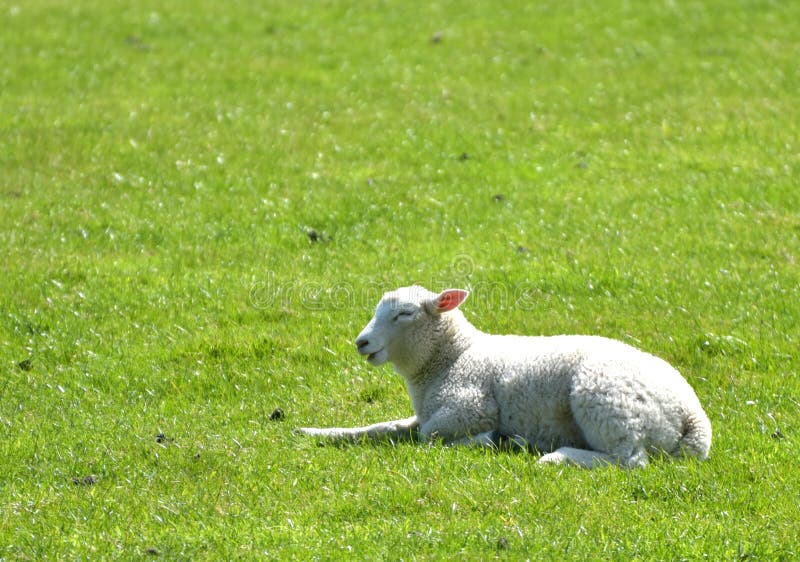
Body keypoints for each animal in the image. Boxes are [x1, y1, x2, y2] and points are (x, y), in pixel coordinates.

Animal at [298, 285, 712, 468]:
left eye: (405, 314)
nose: (361, 342)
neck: (453, 357)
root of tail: (694, 420)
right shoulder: (426, 412)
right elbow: (384, 427)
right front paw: (317, 432)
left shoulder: (468, 405)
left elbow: (430, 436)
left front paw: (486, 440)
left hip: (606, 400)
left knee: (629, 460)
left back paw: (553, 456)